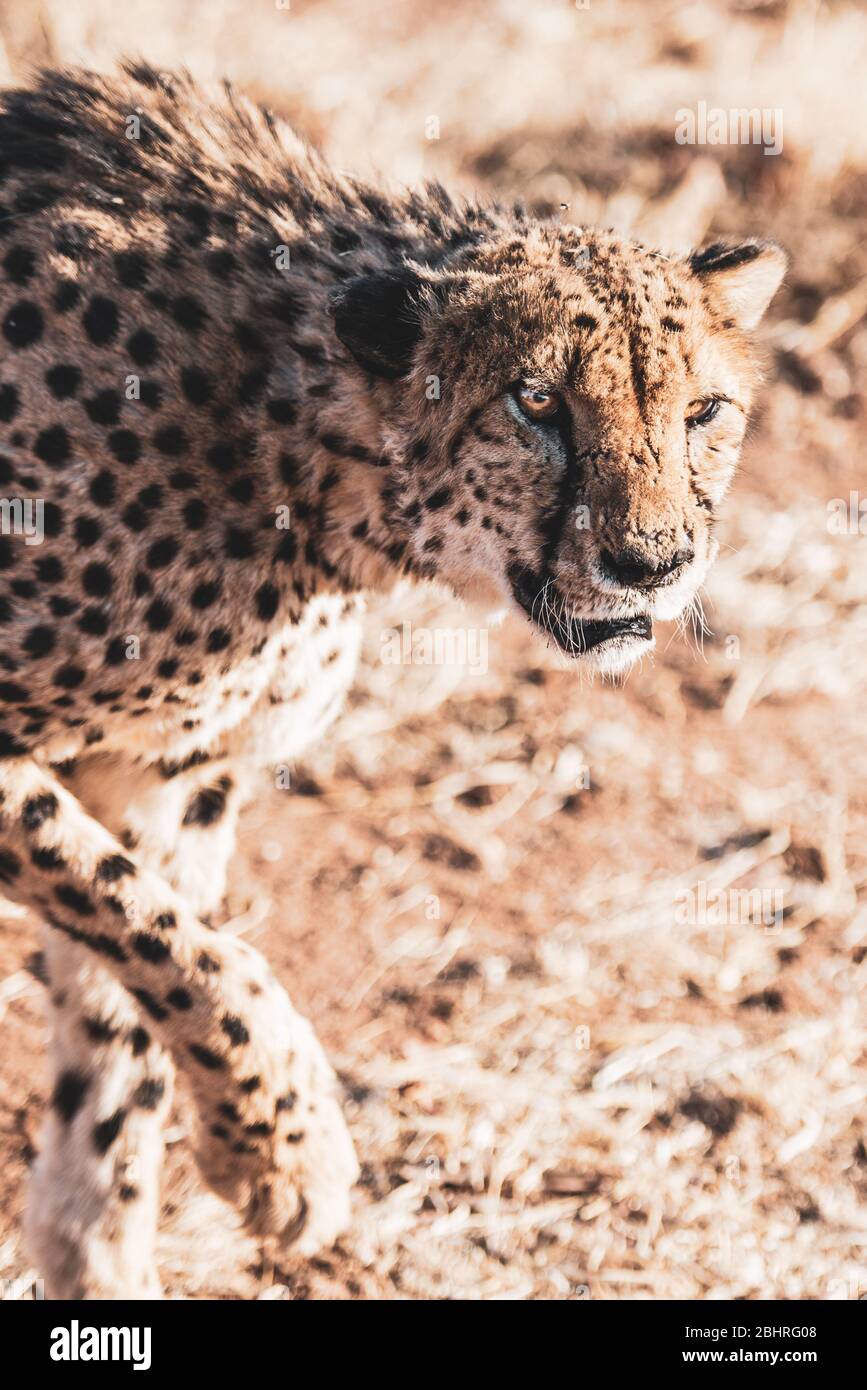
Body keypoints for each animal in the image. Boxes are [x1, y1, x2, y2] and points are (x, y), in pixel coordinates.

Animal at [0, 62, 786, 1299]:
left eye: (704, 412)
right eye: (536, 403)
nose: (654, 562)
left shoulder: (171, 766)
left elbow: (135, 991)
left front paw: (100, 1250)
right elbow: (173, 937)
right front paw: (286, 1148)